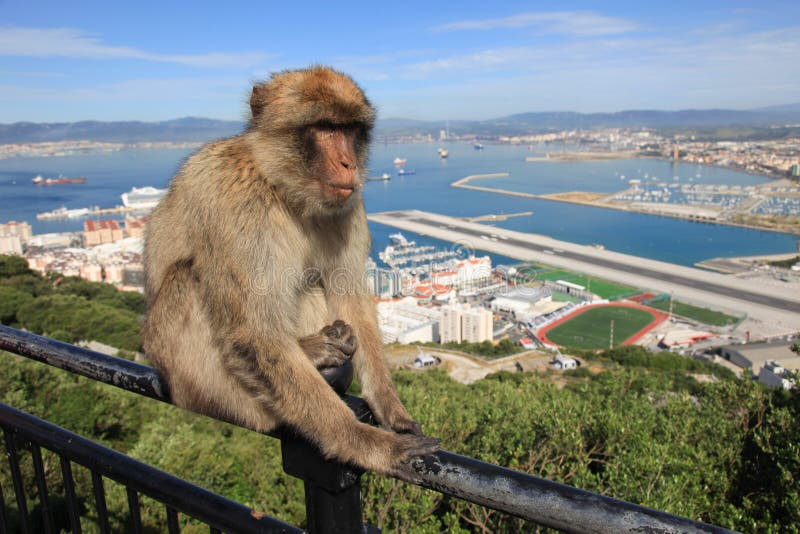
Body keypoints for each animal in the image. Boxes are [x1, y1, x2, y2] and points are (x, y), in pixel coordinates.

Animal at [142, 66, 439, 481]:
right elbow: (252, 334)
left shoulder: (349, 205)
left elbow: (350, 296)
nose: (348, 163)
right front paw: (368, 443)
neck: (282, 188)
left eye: (349, 129)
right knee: (188, 280)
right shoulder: (235, 200)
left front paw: (390, 408)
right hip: (199, 386)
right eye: (324, 127)